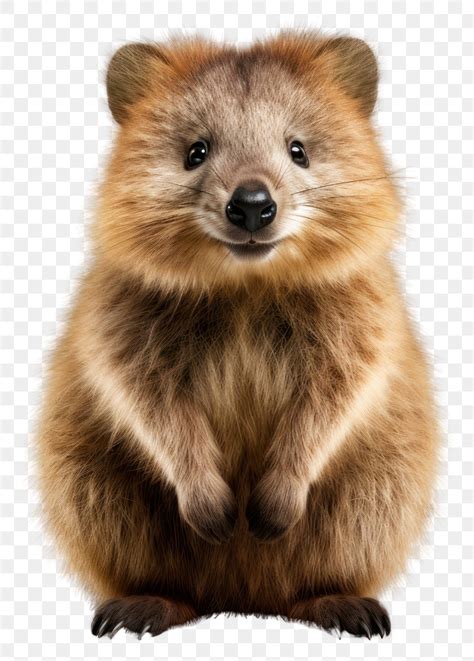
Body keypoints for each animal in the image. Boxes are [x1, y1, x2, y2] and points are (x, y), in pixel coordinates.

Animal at [35, 31, 439, 639]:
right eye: (196, 151)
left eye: (298, 149)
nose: (252, 204)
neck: (245, 290)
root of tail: (244, 597)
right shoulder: (116, 322)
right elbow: (149, 404)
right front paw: (211, 505)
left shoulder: (365, 319)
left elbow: (335, 399)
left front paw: (274, 502)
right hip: (89, 483)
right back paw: (145, 603)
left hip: (383, 484)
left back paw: (339, 602)